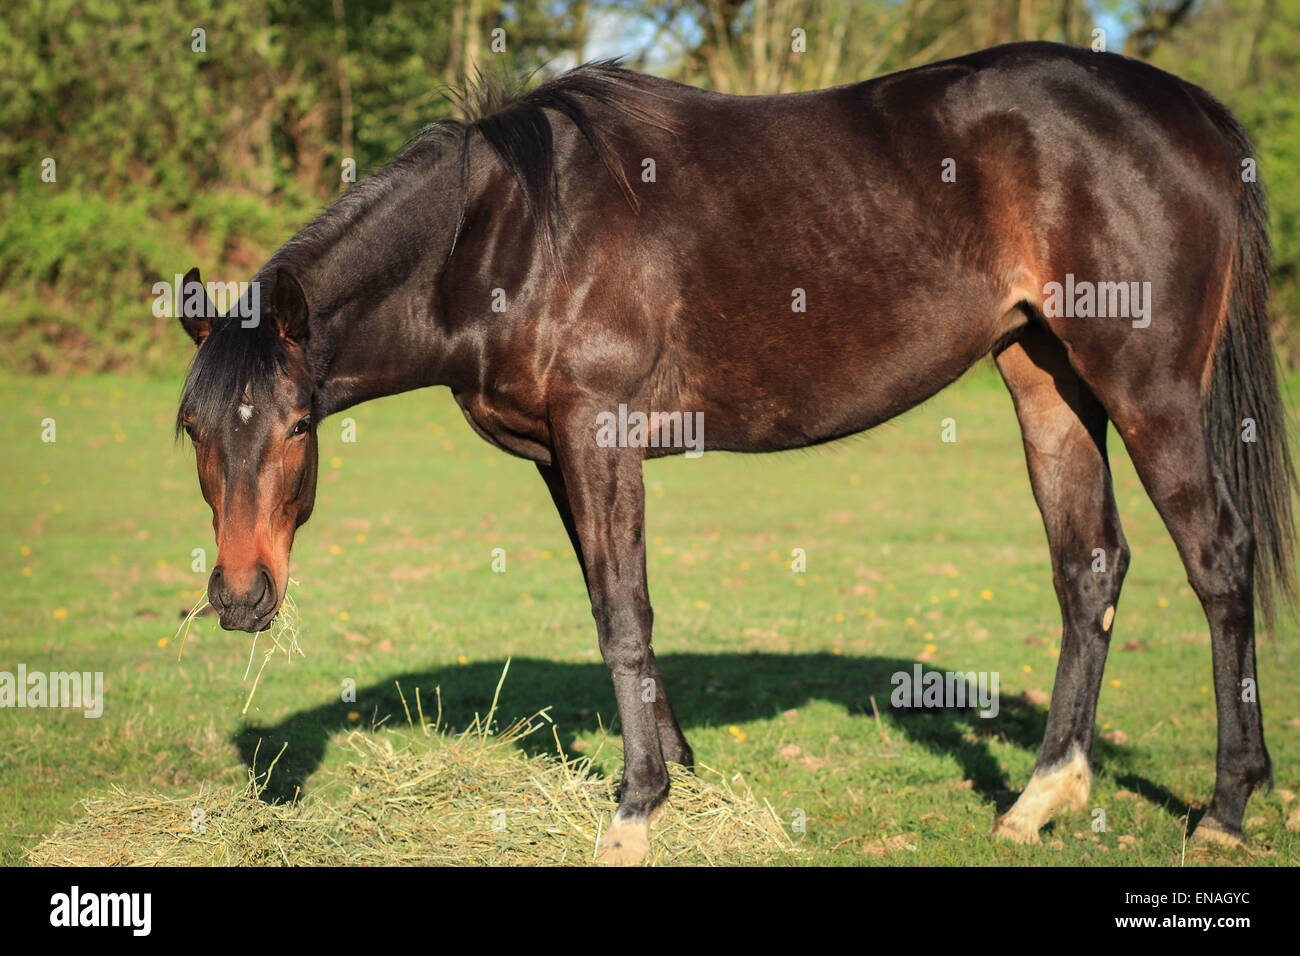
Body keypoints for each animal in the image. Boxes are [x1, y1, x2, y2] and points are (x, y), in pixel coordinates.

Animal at [176, 41, 1296, 864]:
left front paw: (635, 810)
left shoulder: (598, 431)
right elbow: (621, 606)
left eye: (294, 426)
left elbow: (621, 614)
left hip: (1147, 387)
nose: (239, 595)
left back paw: (1224, 809)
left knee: (1217, 558)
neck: (510, 231)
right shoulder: (558, 456)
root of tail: (1191, 111)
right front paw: (678, 772)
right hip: (1045, 376)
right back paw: (1041, 797)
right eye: (192, 429)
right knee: (1088, 566)